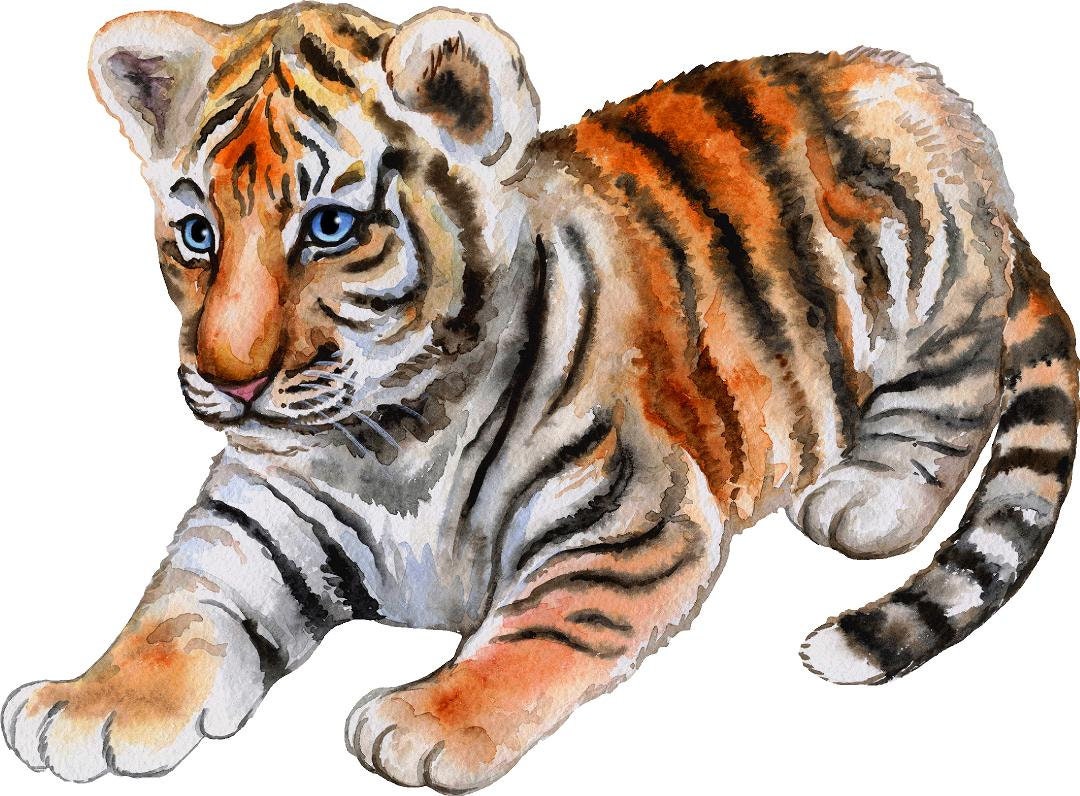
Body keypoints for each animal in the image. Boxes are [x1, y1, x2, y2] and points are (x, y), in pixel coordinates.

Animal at [3, 2, 1075, 791]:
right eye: (196, 234)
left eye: (332, 227)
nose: (229, 382)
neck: (390, 440)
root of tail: (912, 81)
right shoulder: (258, 516)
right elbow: (175, 608)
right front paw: (90, 704)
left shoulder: (633, 525)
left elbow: (543, 631)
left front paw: (425, 720)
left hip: (933, 276)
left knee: (958, 388)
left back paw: (869, 495)